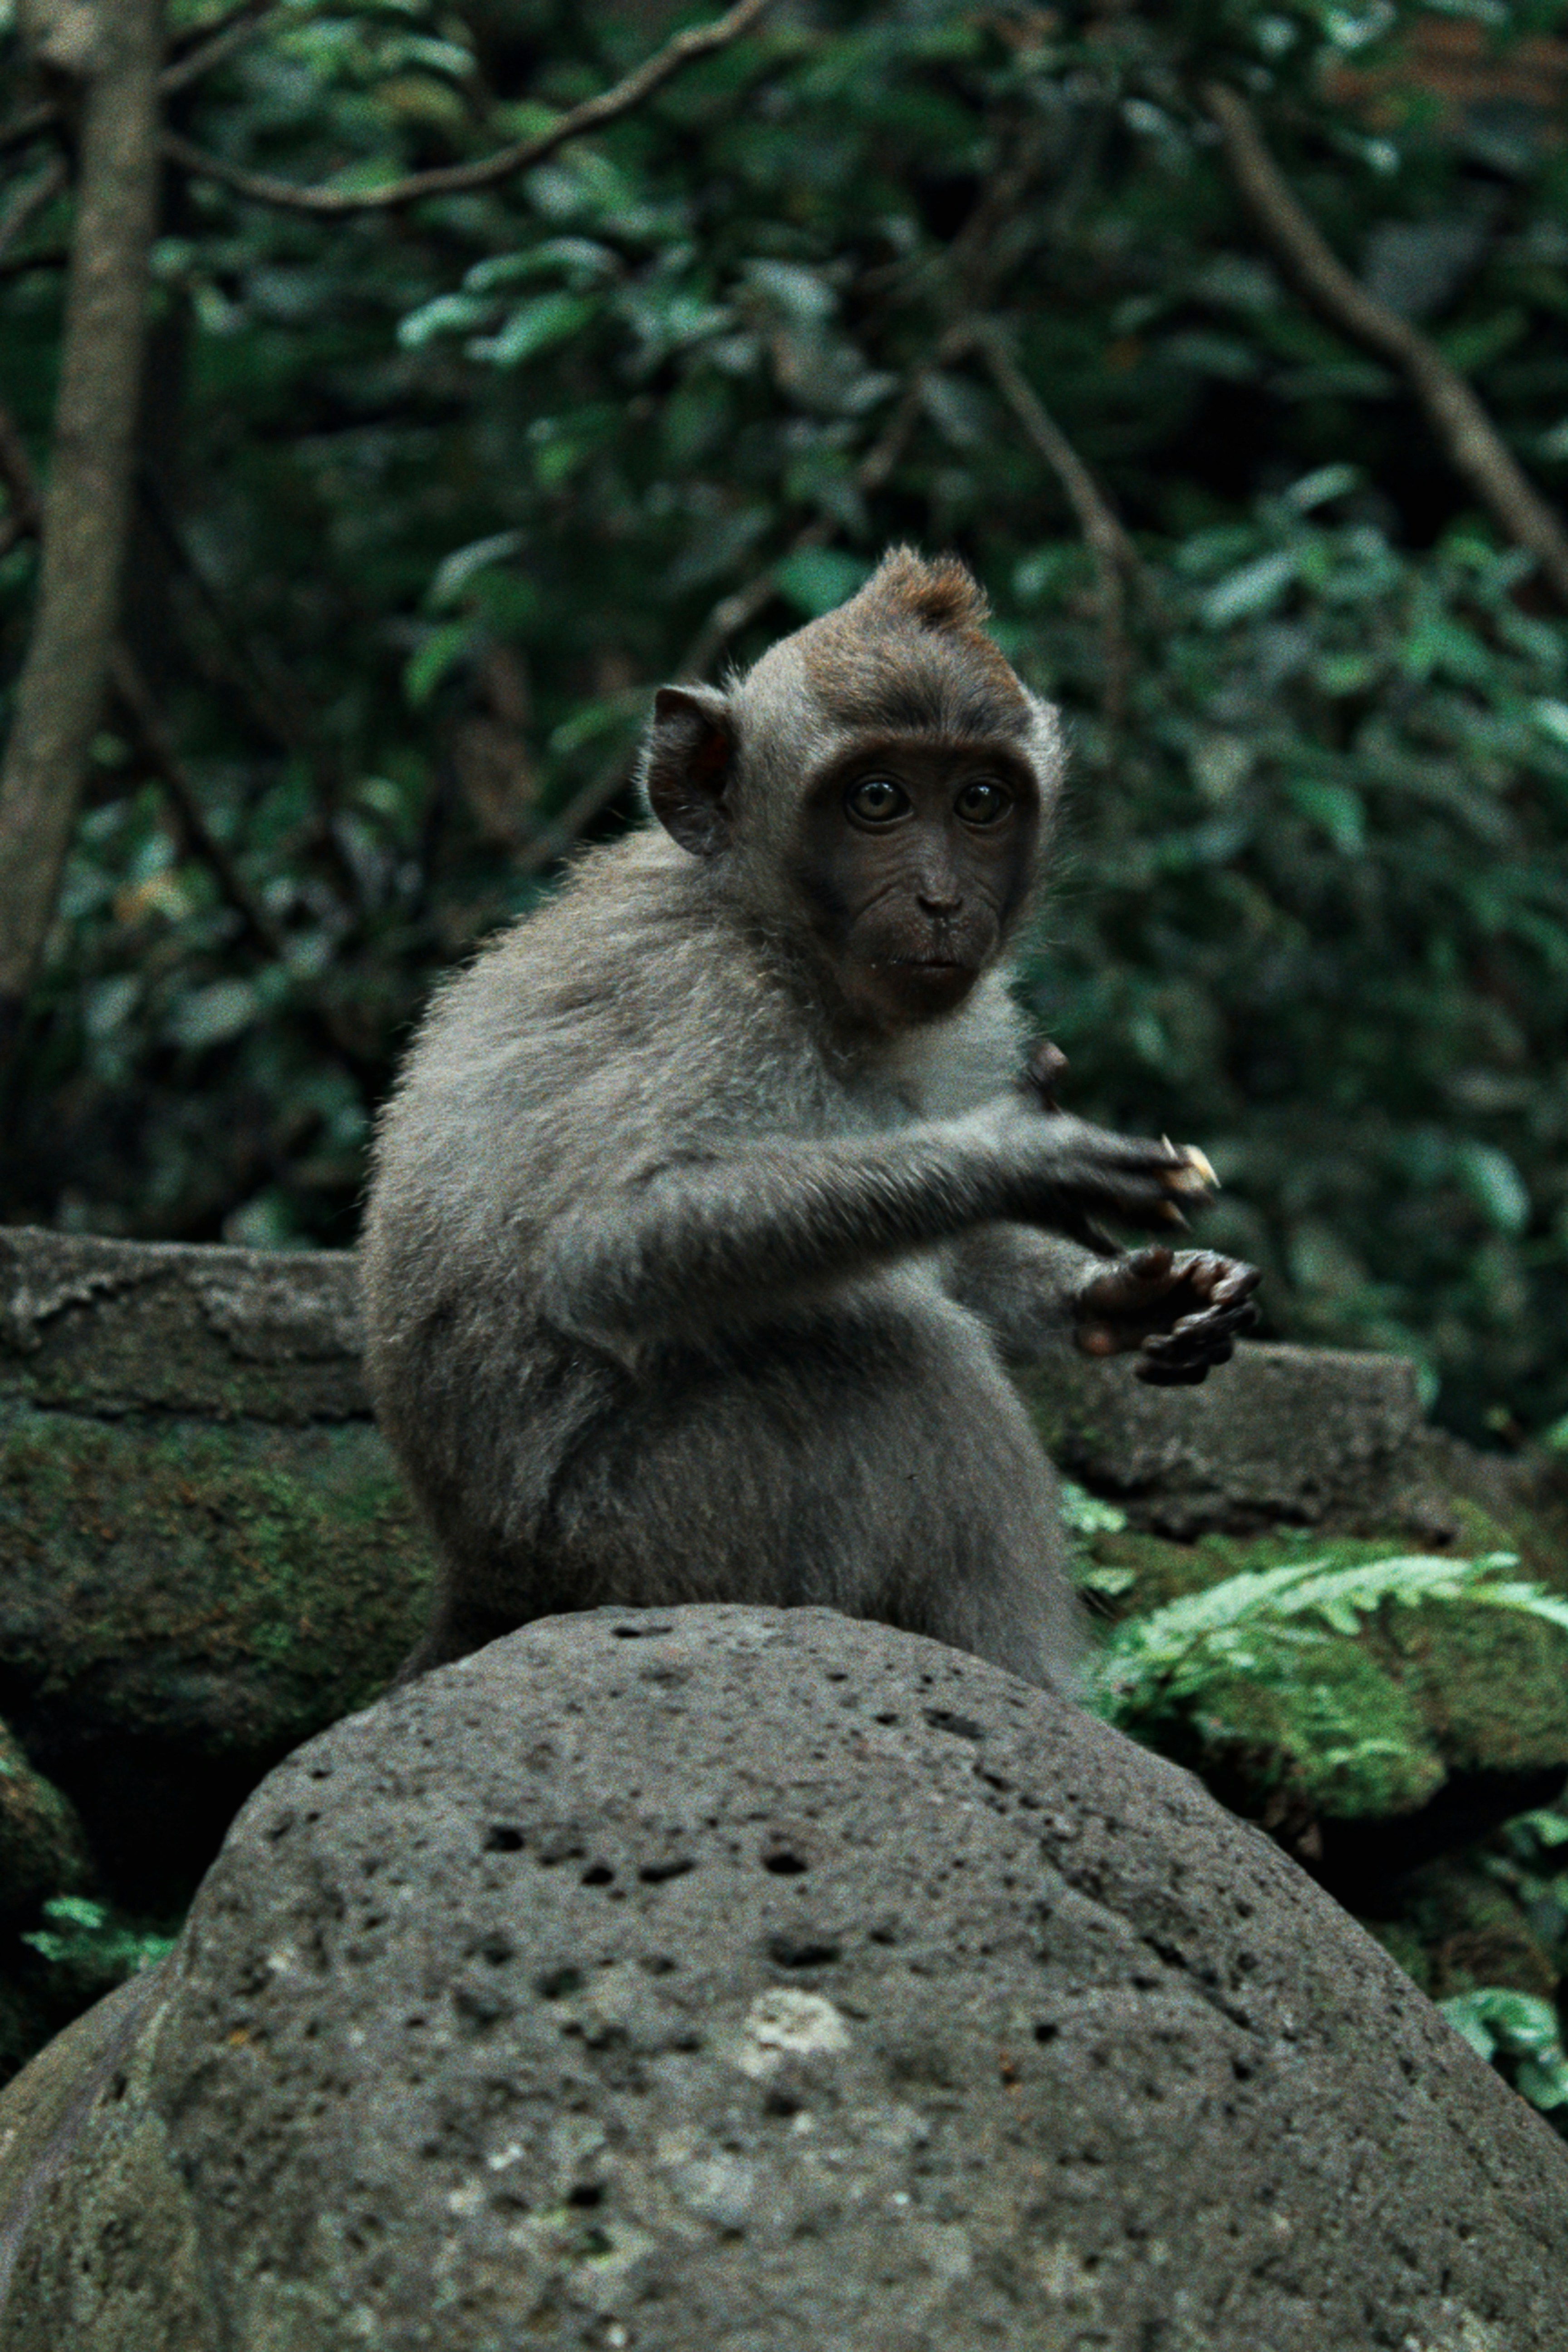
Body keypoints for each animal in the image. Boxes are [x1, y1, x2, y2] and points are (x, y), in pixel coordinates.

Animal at [360, 548, 1259, 1685]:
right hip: (652, 1537)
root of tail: (484, 1580)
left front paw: (1133, 1295)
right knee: (907, 1369)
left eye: (980, 801)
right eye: (878, 799)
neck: (779, 935)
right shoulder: (703, 1001)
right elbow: (606, 1246)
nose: (940, 902)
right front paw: (1022, 1157)